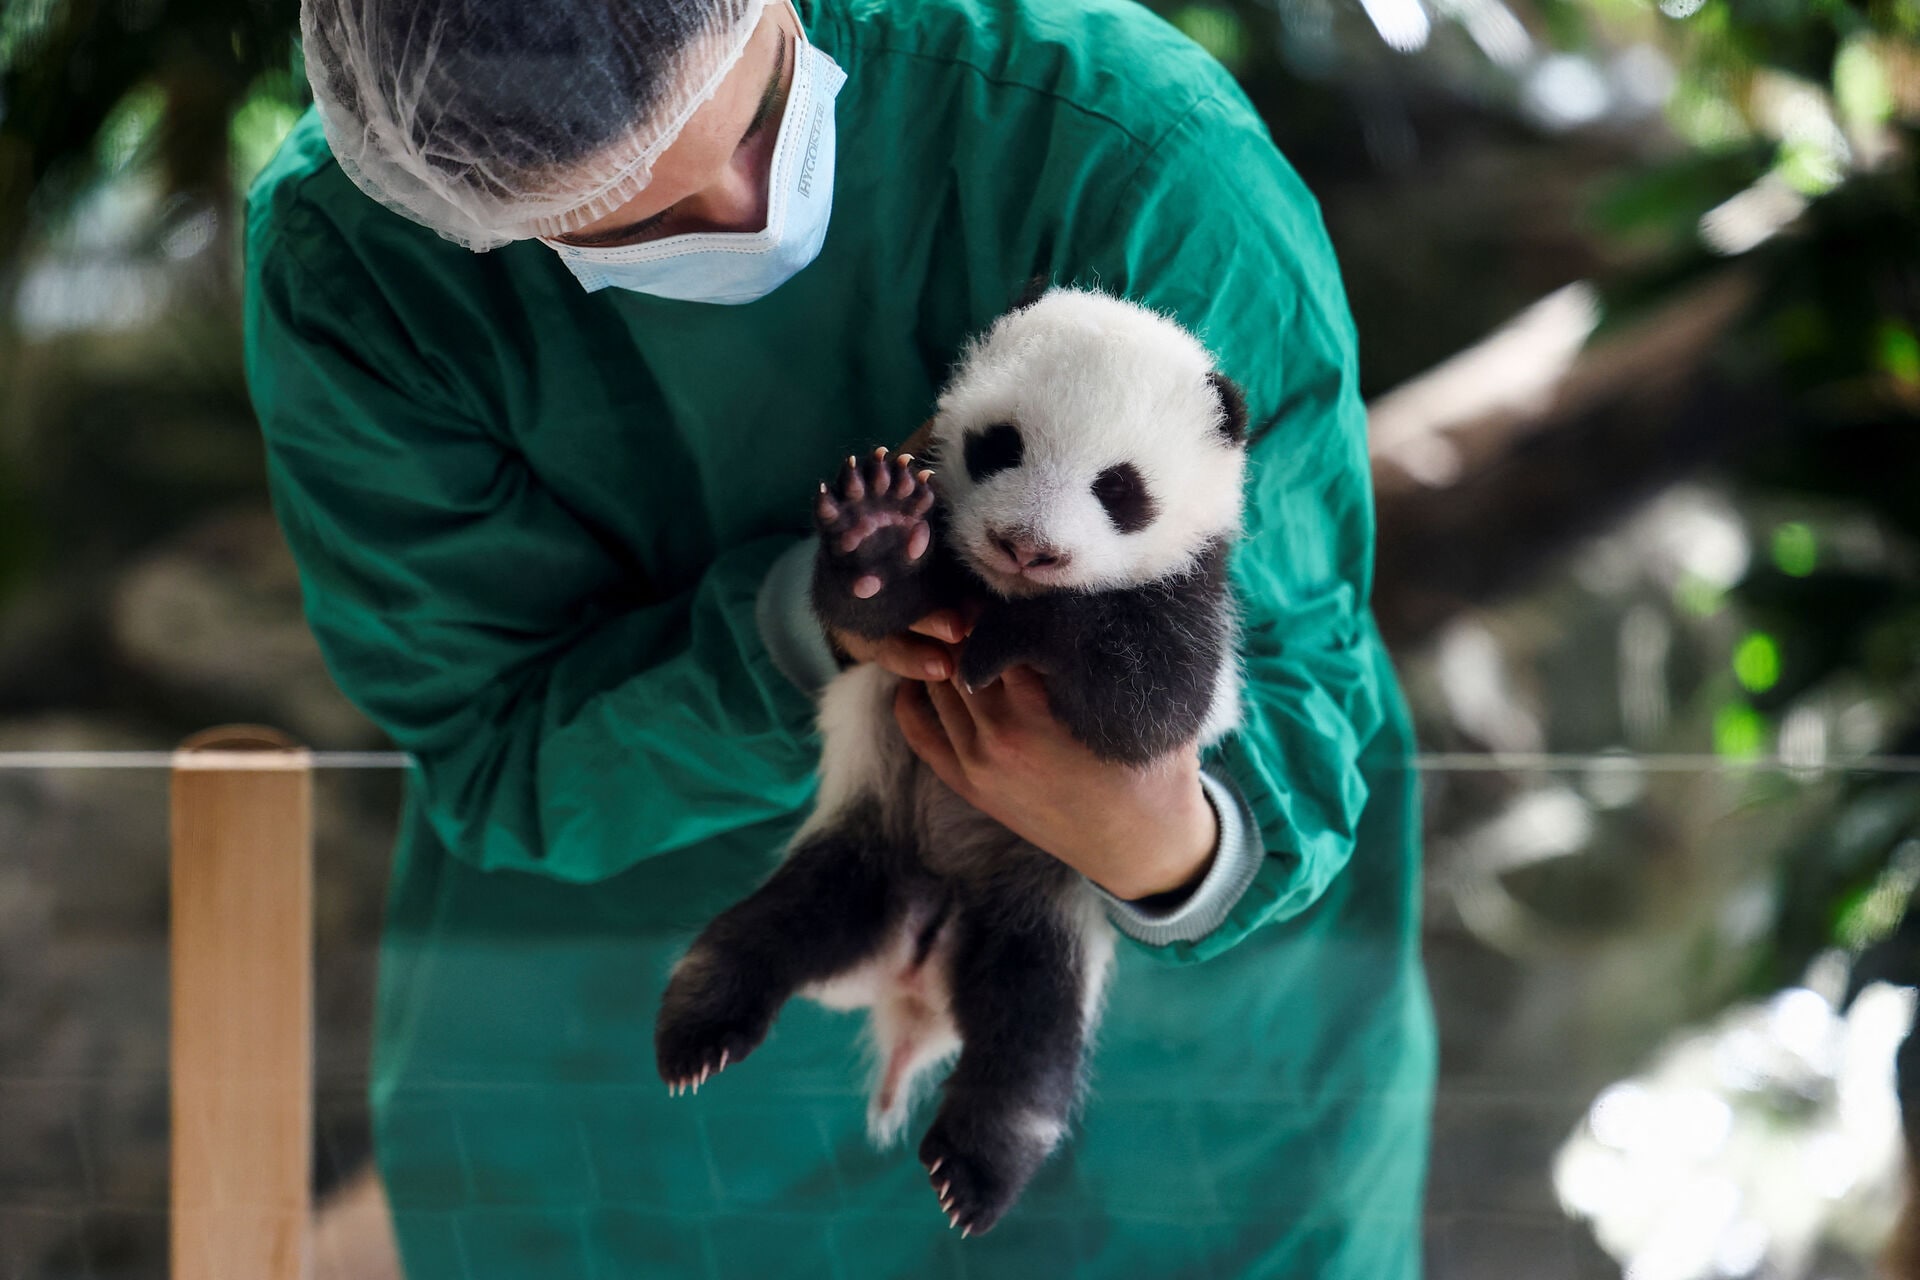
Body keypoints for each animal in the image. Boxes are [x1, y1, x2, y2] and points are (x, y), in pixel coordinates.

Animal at [654, 286, 1250, 1236]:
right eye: (999, 444)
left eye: (1120, 489)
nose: (1027, 546)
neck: (996, 591)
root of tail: (912, 969)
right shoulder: (923, 597)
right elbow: (861, 611)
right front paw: (874, 534)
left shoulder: (1194, 598)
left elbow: (1147, 713)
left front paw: (1030, 636)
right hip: (866, 848)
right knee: (766, 934)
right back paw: (697, 1034)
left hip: (1042, 907)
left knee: (1028, 1038)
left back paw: (977, 1169)